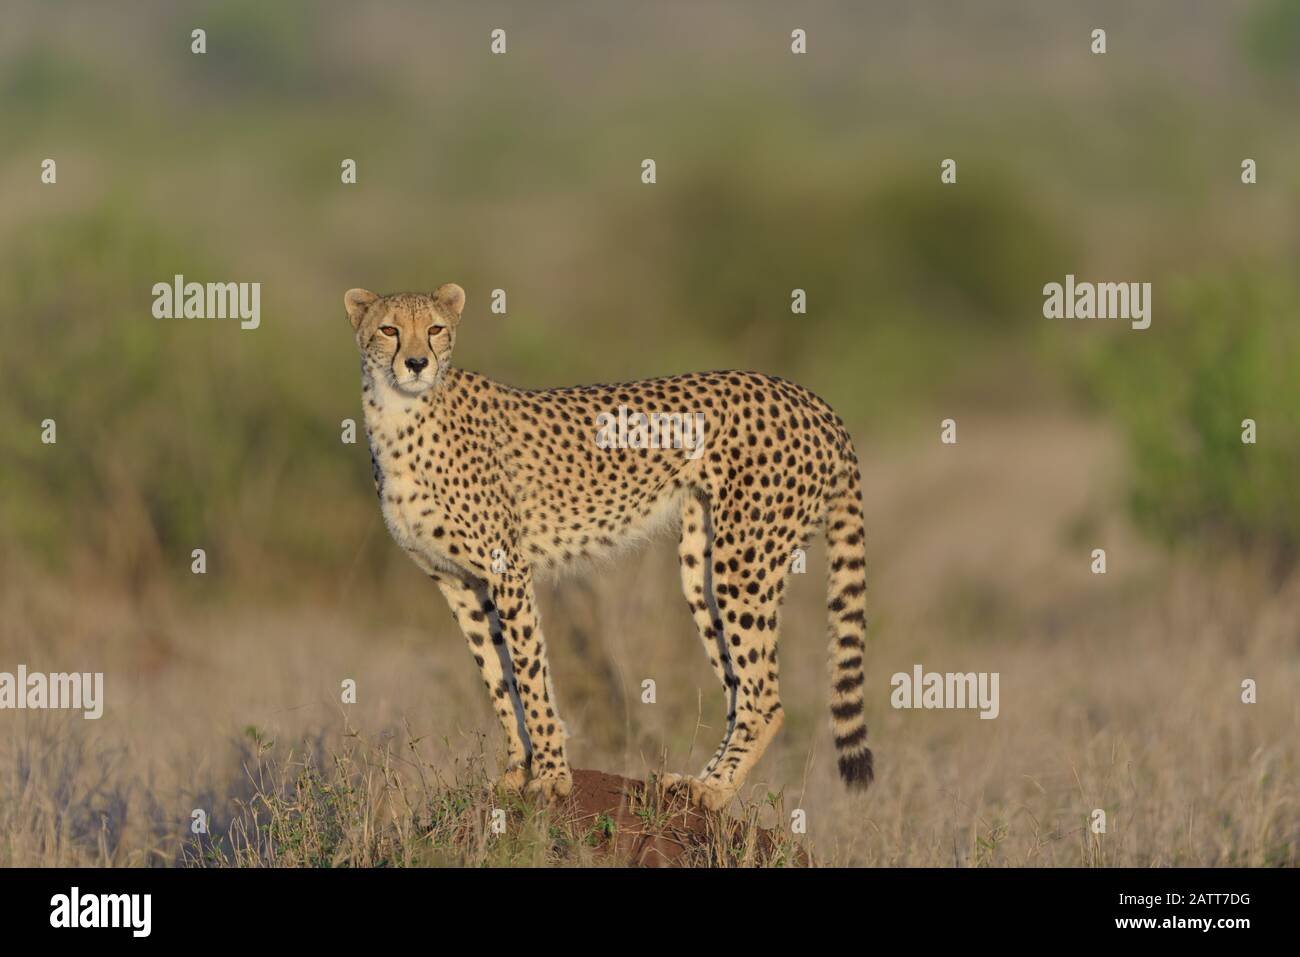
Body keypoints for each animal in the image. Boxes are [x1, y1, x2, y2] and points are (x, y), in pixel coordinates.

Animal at [345, 283, 873, 810]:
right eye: (389, 329)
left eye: (435, 328)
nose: (417, 363)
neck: (399, 414)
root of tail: (810, 398)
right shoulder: (458, 582)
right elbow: (498, 677)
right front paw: (516, 771)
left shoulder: (507, 569)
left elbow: (530, 674)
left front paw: (551, 777)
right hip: (703, 568)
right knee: (740, 690)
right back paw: (693, 782)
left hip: (744, 561)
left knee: (765, 699)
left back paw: (713, 792)